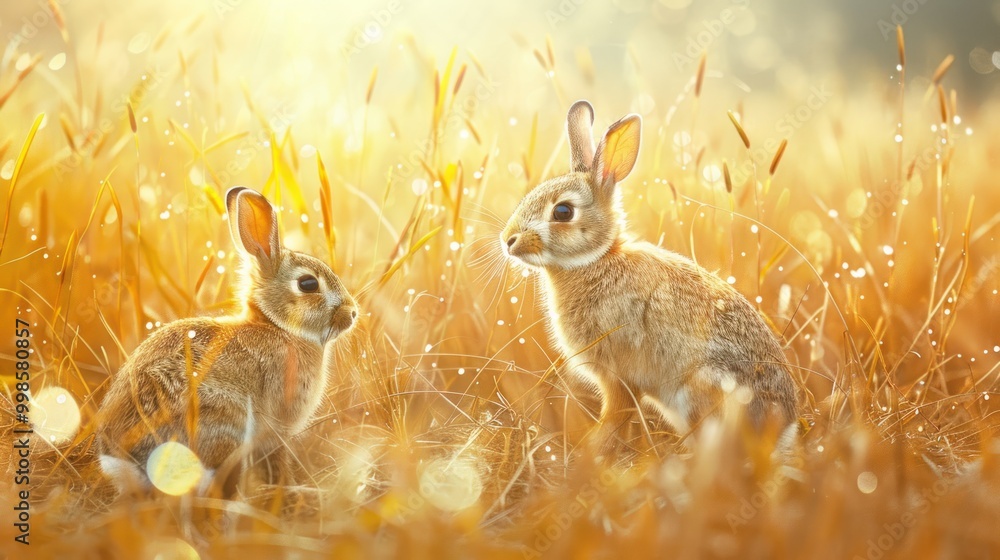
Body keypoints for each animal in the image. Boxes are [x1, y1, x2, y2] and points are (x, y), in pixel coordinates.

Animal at [96, 186, 358, 496]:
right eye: (308, 284)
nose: (352, 313)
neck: (278, 326)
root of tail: (129, 464)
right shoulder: (275, 429)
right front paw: (289, 488)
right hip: (225, 419)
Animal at [500, 100, 797, 454]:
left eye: (562, 212)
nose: (508, 240)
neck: (597, 261)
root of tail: (782, 428)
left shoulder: (618, 375)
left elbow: (616, 414)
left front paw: (591, 452)